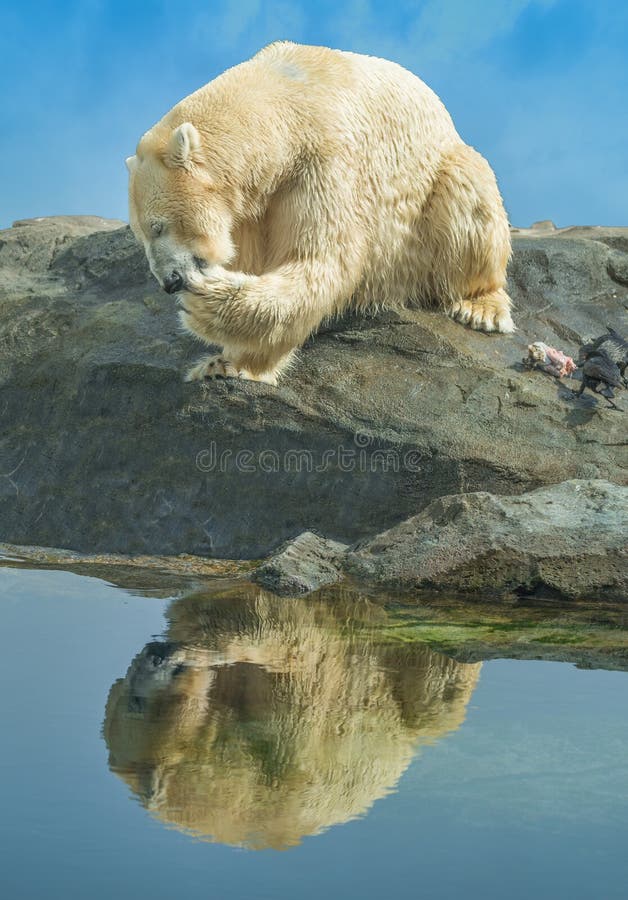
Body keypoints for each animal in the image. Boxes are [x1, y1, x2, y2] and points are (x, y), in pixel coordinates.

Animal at [127, 41, 514, 385]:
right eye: (141, 233)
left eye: (158, 226)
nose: (170, 282)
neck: (288, 100)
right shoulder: (251, 207)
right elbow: (255, 260)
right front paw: (223, 364)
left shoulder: (323, 160)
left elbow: (321, 259)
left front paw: (206, 303)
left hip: (433, 195)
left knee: (468, 193)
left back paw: (480, 308)